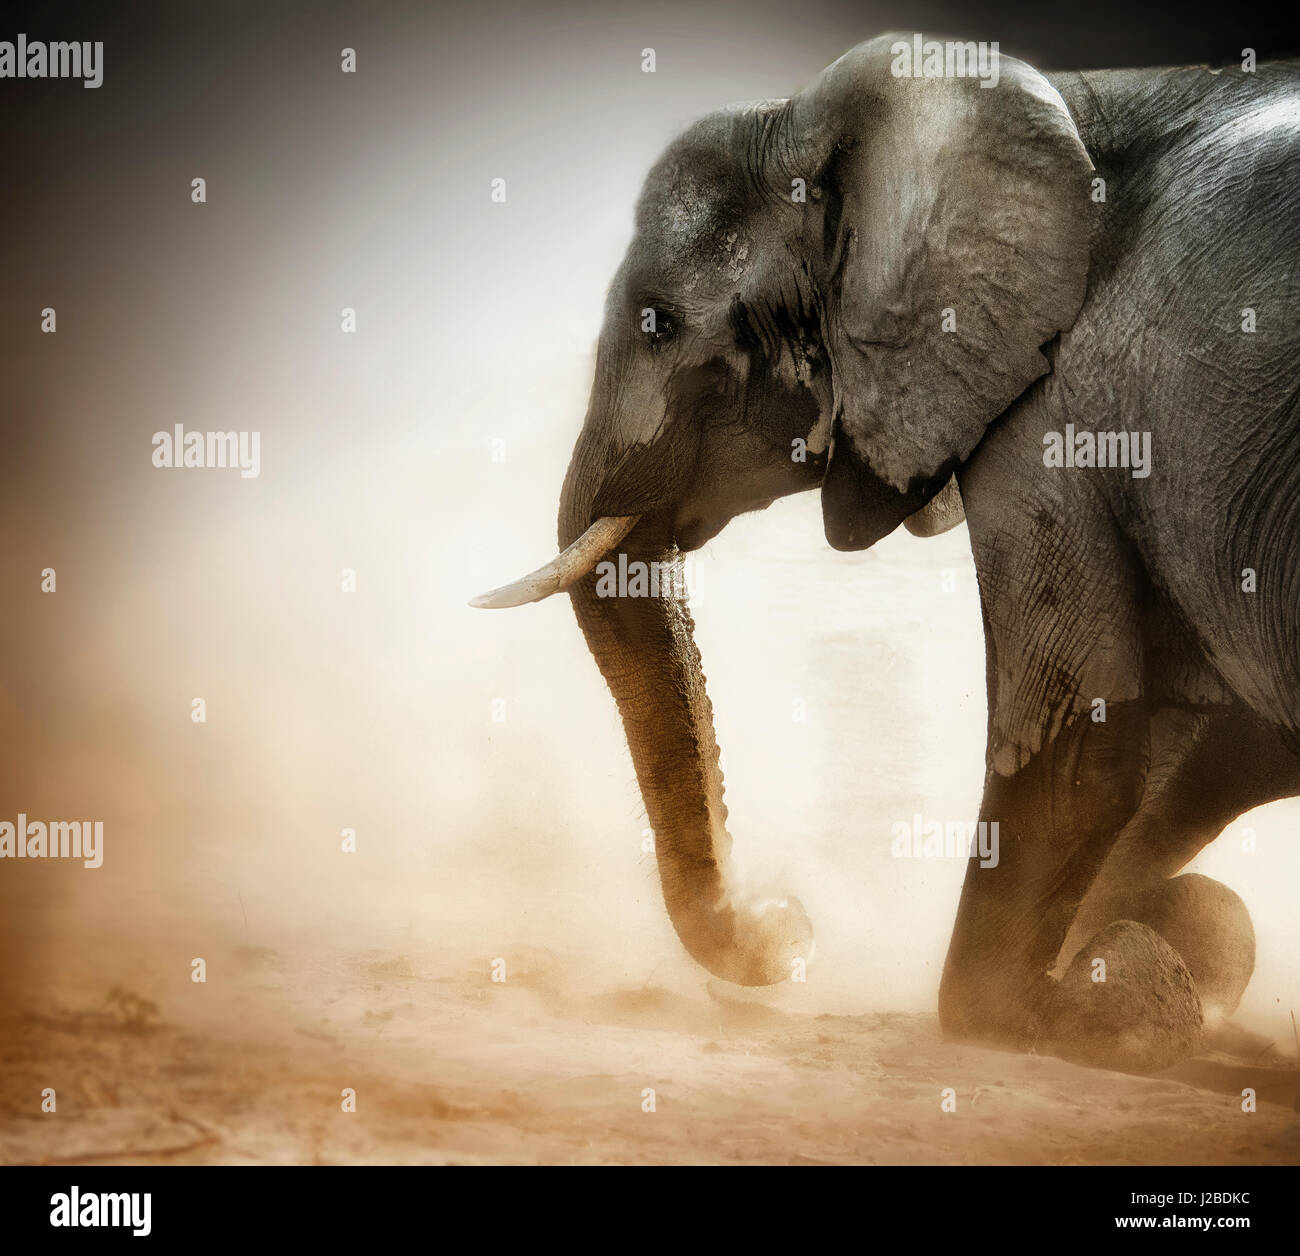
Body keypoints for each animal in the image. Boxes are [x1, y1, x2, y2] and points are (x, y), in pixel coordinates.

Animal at [474, 35, 1300, 1072]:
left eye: (657, 321)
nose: (789, 924)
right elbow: (1204, 756)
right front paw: (1172, 955)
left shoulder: (1052, 410)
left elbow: (1078, 736)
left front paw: (1073, 1010)